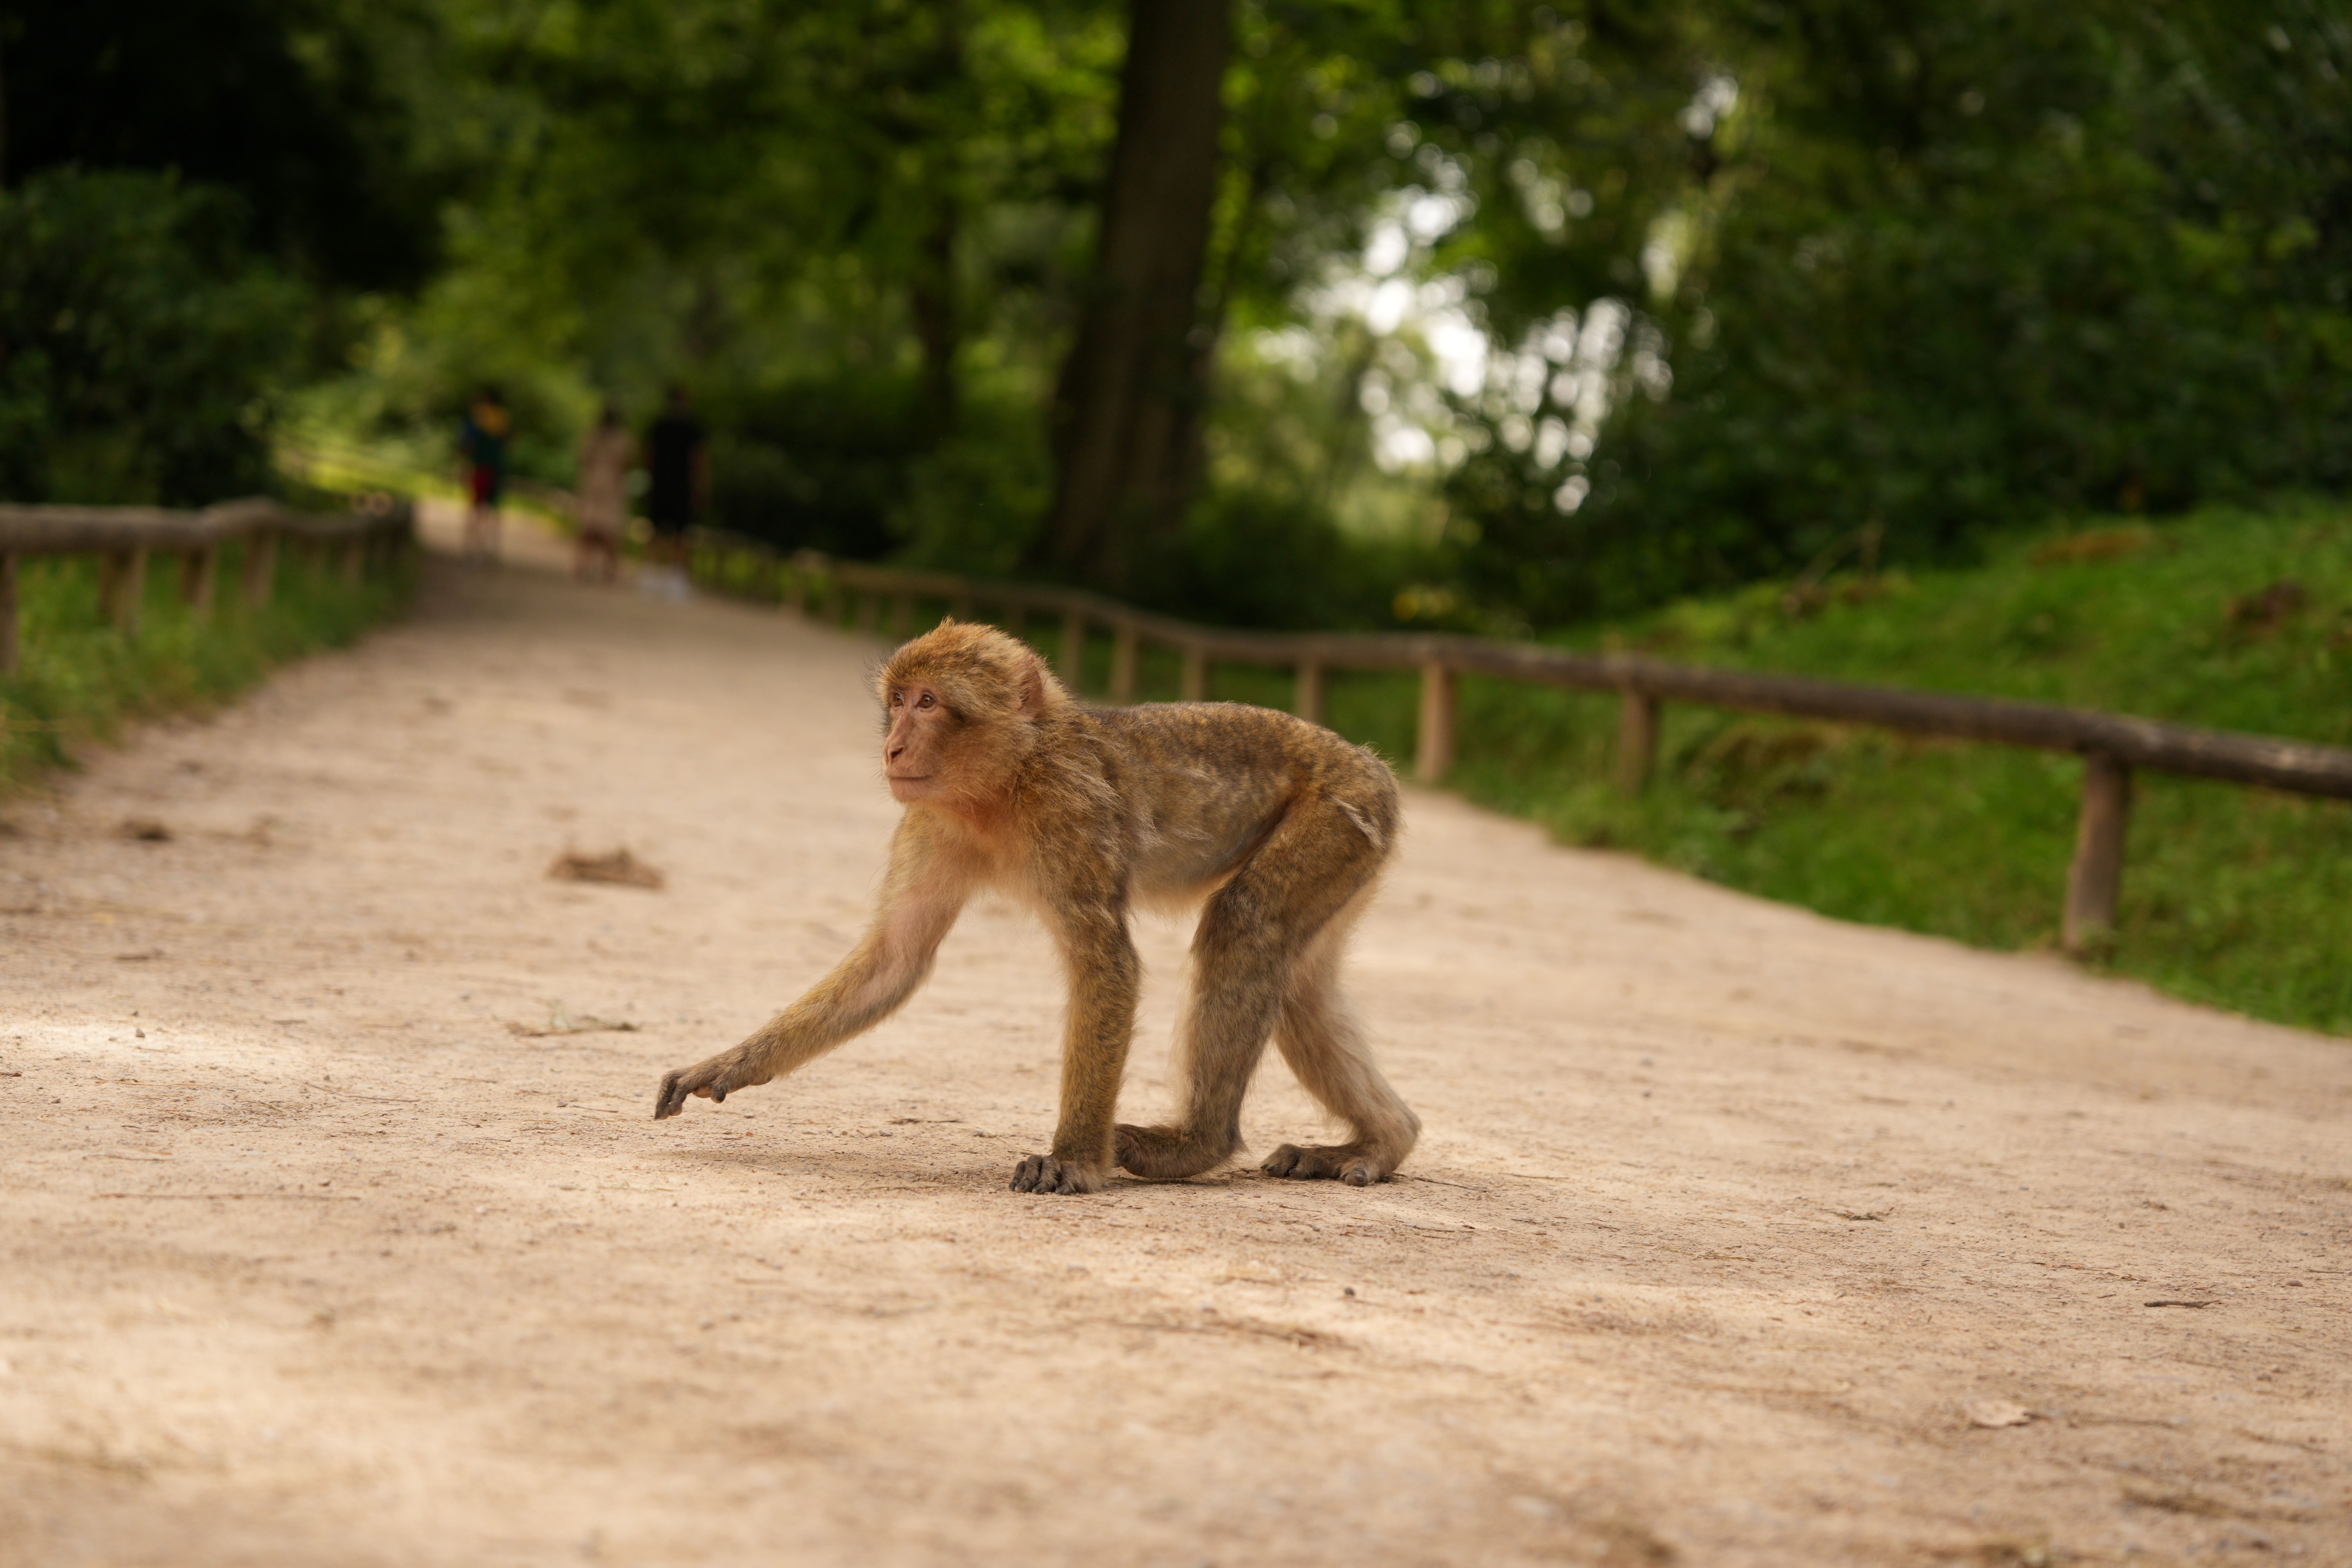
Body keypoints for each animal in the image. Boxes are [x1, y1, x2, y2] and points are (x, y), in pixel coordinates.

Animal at [652, 619, 1418, 1194]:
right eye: (897, 700)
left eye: (928, 702)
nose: (893, 747)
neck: (1003, 782)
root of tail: (1373, 766)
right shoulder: (931, 823)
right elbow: (894, 958)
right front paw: (730, 1063)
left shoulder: (1067, 808)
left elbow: (1105, 963)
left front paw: (1074, 1158)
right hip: (1353, 846)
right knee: (1300, 986)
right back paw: (1385, 1139)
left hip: (1340, 815)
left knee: (1247, 923)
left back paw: (1197, 1144)